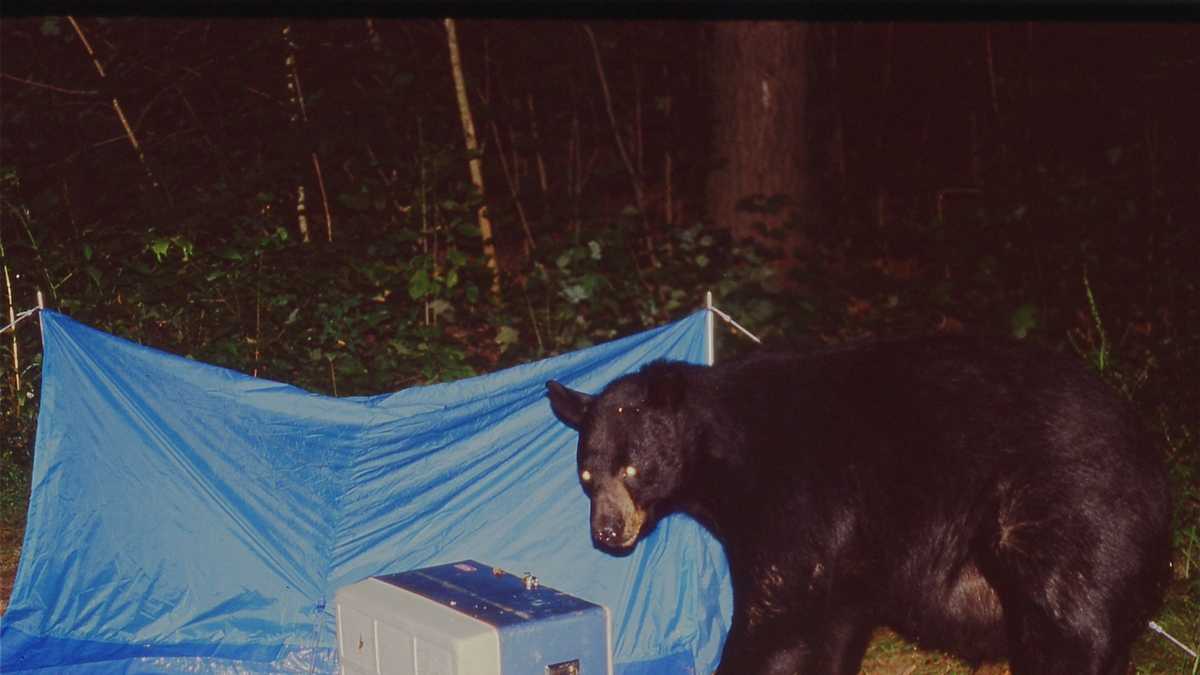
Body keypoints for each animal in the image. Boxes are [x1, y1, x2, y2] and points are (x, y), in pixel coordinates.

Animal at [546, 335, 1172, 675]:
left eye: (633, 468)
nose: (606, 532)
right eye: (586, 475)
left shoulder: (796, 499)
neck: (722, 452)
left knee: (1064, 631)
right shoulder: (850, 553)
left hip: (1064, 519)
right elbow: (834, 623)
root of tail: (1149, 463)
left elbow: (779, 616)